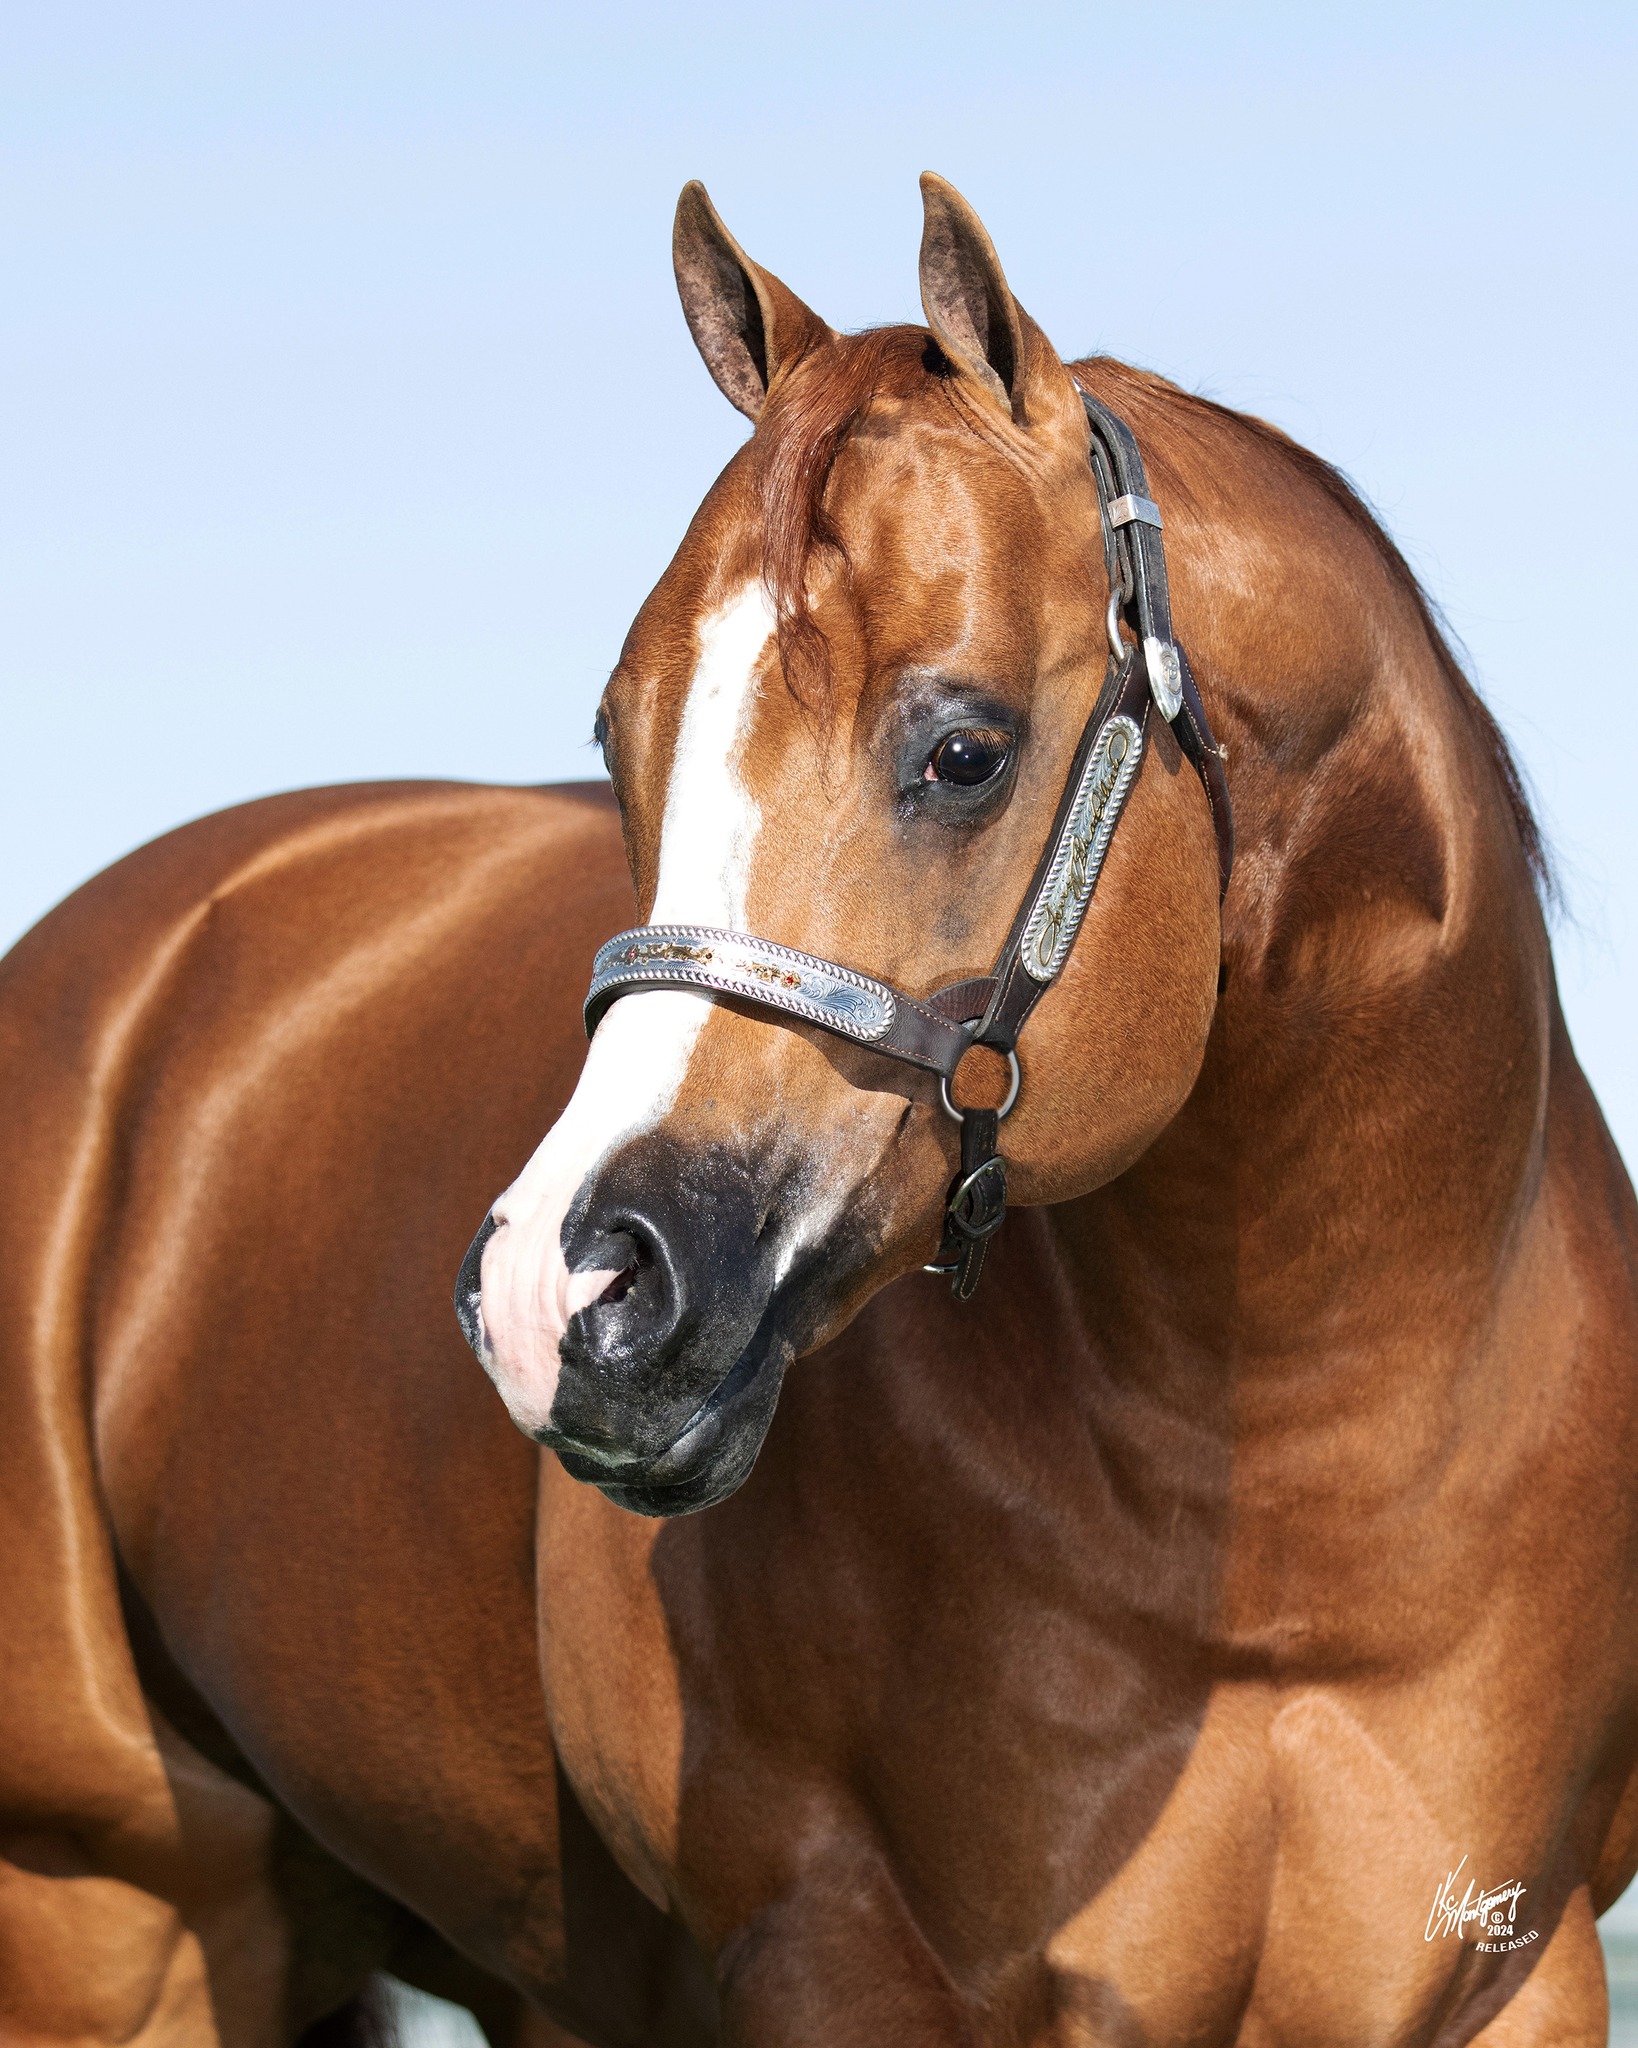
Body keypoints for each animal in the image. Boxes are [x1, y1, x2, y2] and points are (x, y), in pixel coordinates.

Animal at [3, 172, 1635, 2048]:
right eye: (619, 732)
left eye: (962, 750)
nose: (561, 1289)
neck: (1311, 1511)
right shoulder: (834, 1952)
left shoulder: (1516, 1969)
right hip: (109, 1913)